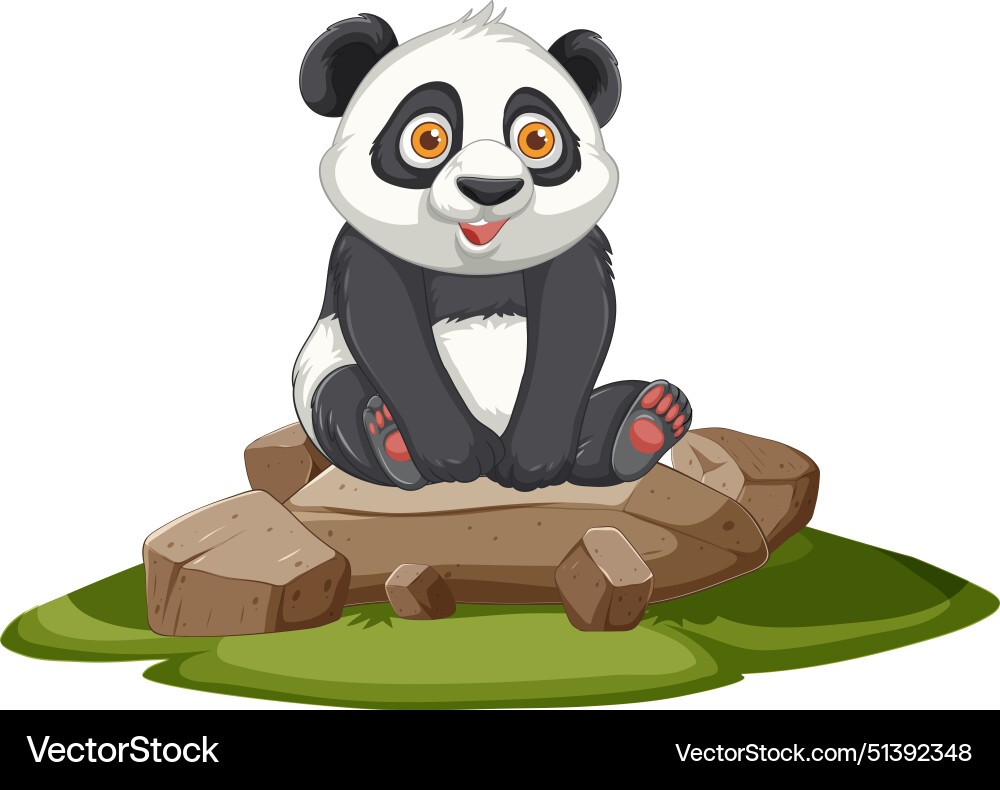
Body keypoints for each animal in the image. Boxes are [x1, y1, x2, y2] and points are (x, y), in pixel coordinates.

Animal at [293, 4, 692, 492]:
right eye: (428, 138)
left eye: (537, 138)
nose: (488, 189)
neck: (478, 264)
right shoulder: (366, 246)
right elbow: (386, 324)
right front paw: (454, 455)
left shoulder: (572, 248)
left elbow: (573, 321)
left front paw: (534, 460)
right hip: (323, 370)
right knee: (341, 396)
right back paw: (390, 440)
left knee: (608, 405)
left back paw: (646, 423)